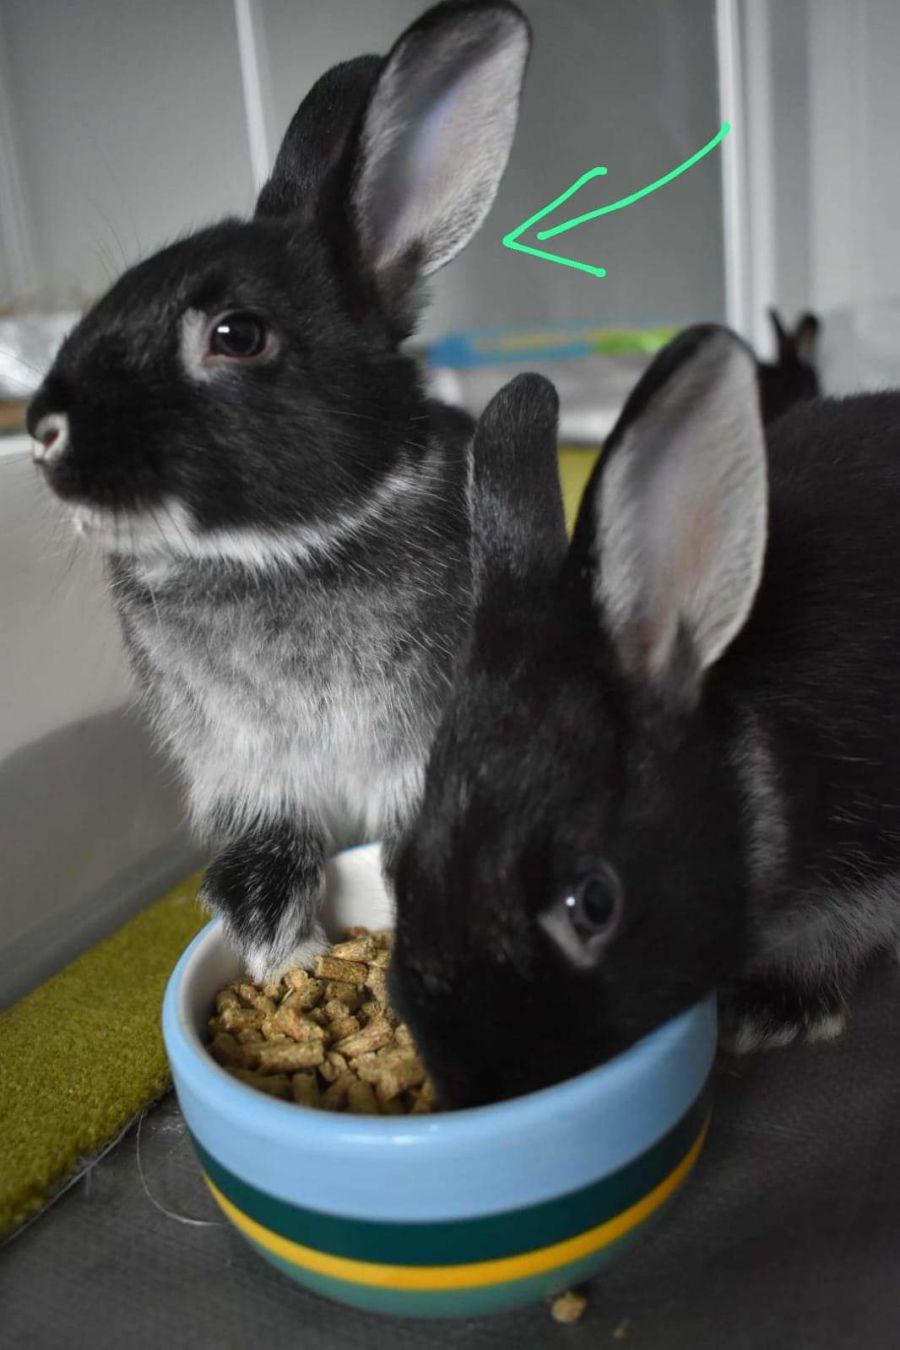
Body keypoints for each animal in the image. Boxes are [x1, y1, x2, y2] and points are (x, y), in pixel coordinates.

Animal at [27, 0, 532, 980]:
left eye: (237, 334)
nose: (41, 429)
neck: (281, 556)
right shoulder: (247, 772)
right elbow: (267, 860)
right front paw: (281, 951)